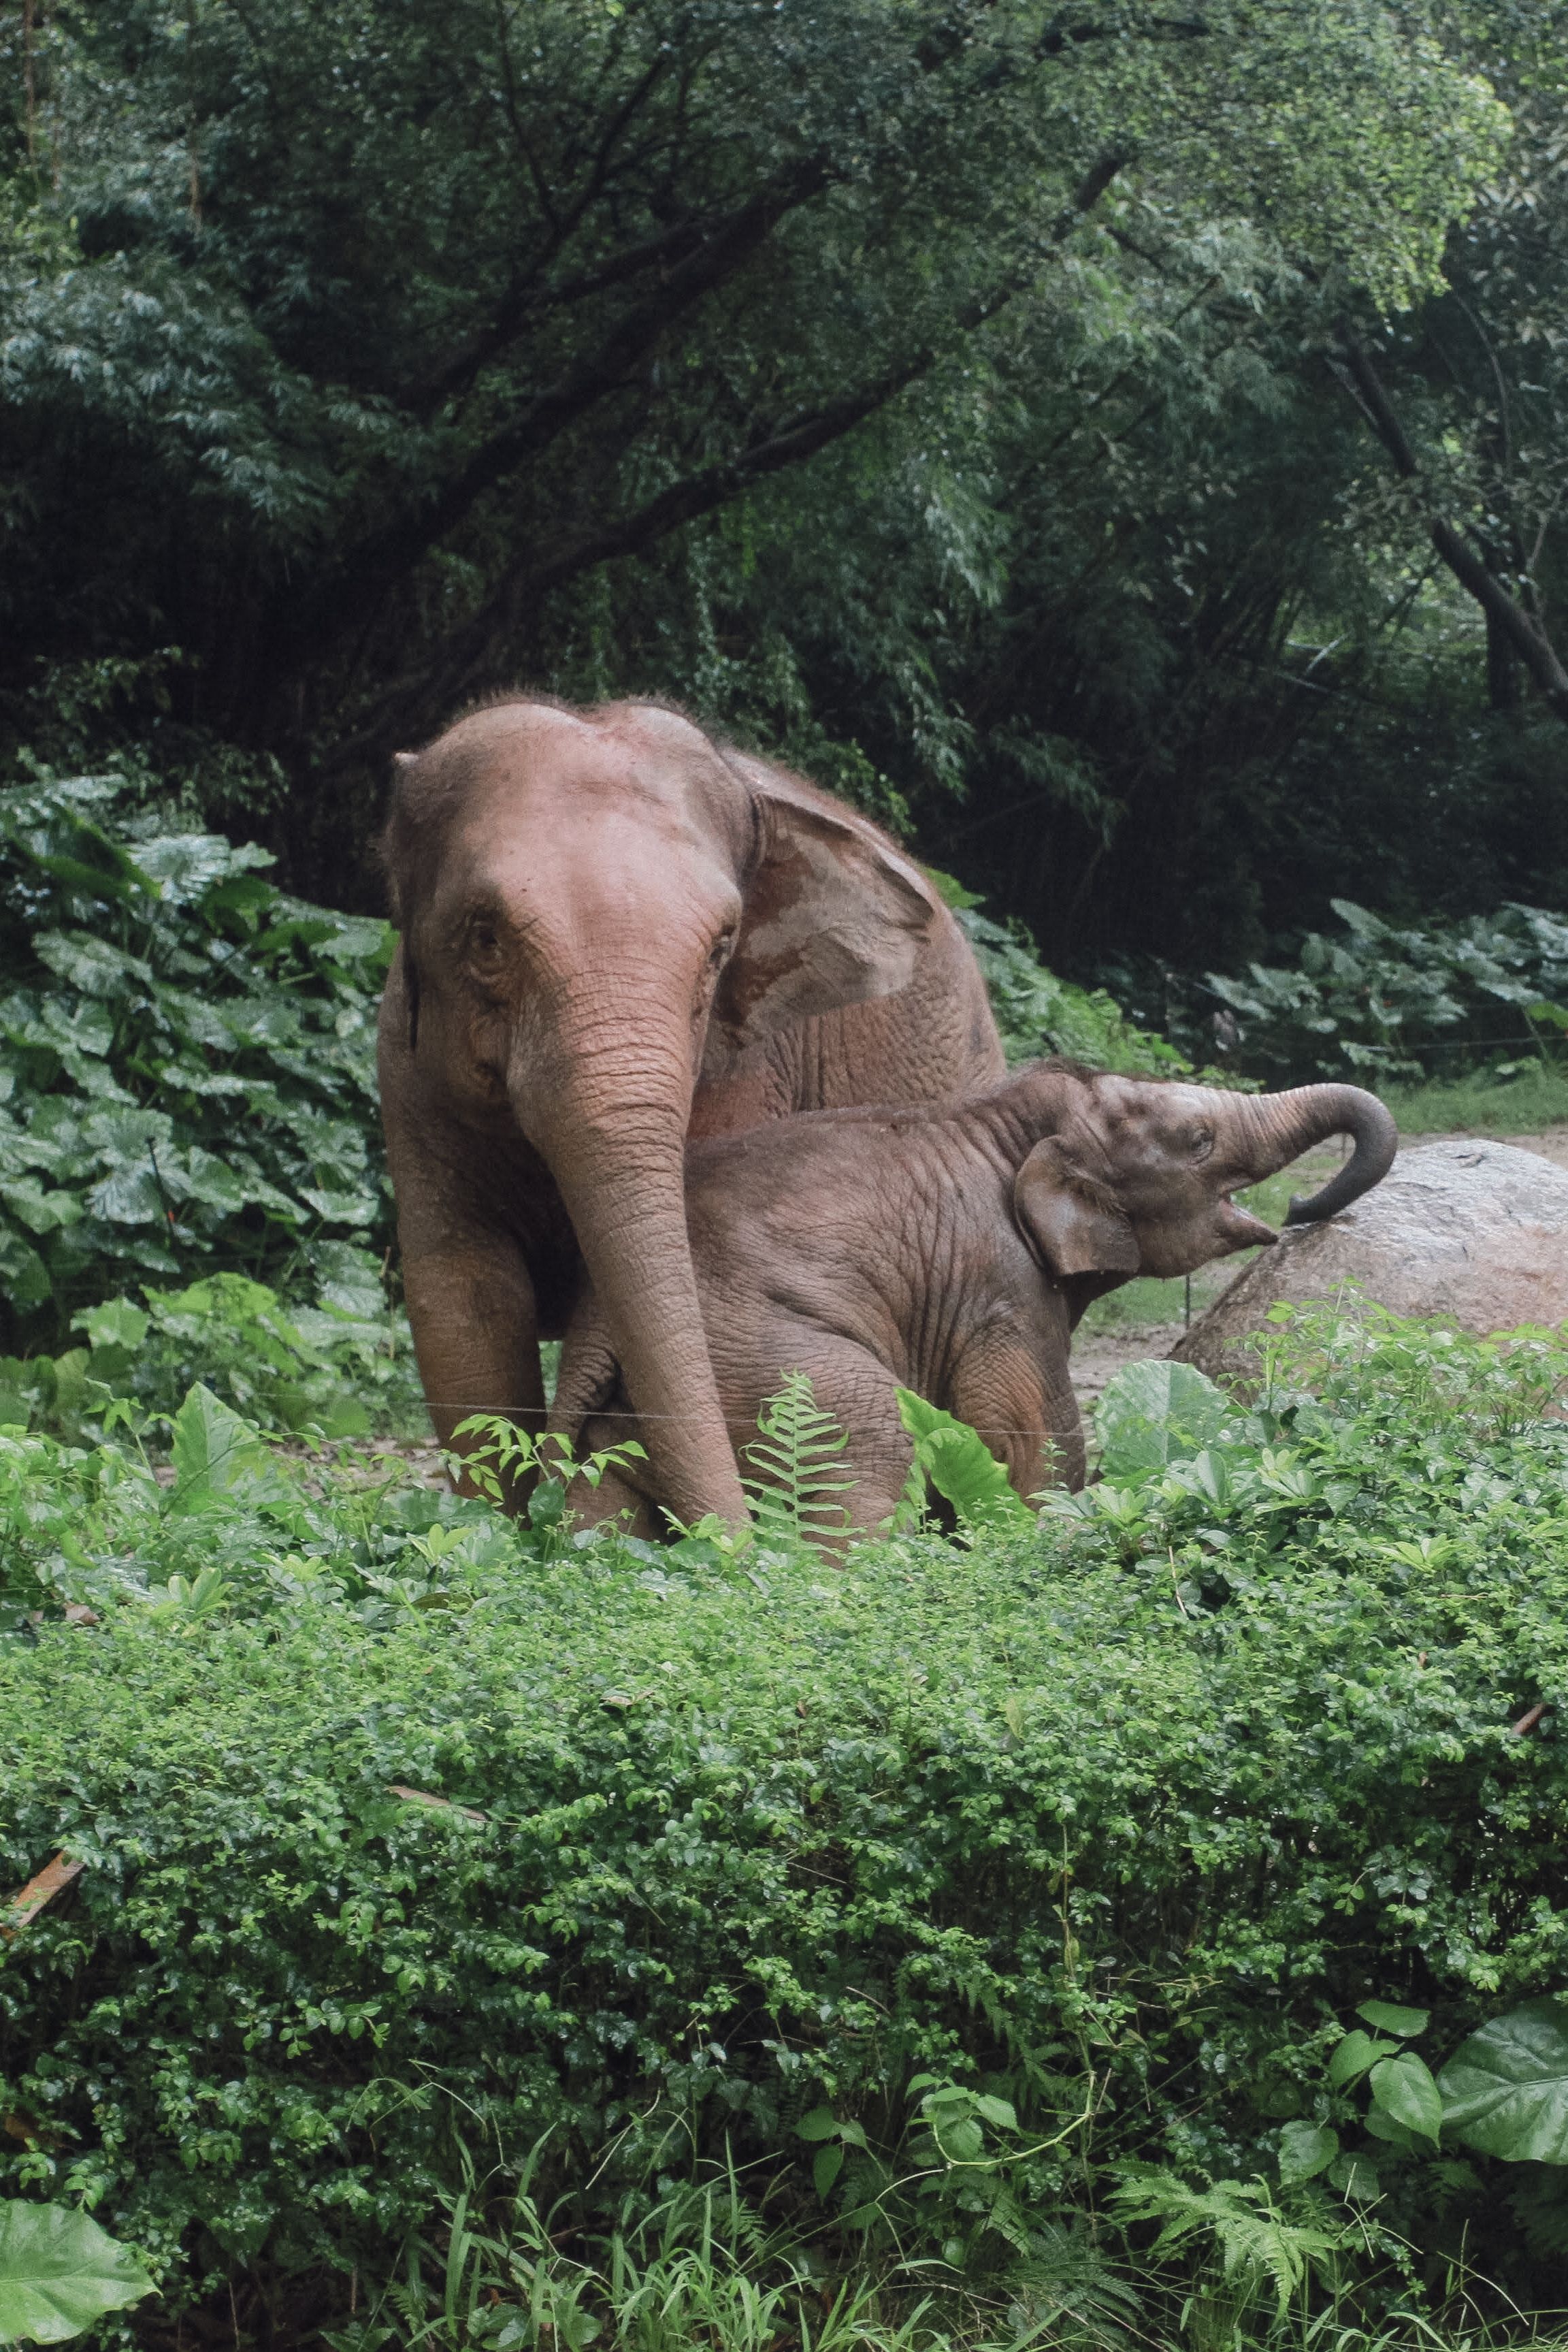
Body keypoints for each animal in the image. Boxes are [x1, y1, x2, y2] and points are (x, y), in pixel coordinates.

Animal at [377, 696, 1005, 1525]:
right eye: (485, 937)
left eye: (720, 949)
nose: (738, 1543)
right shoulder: (409, 1074)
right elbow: (465, 1306)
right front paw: (494, 1531)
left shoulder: (751, 1065)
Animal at [548, 1062, 1398, 1532]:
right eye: (1199, 1142)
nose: (1301, 1208)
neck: (1006, 1121)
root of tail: (596, 1322)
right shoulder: (1000, 1285)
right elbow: (1029, 1435)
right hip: (759, 1351)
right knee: (871, 1443)